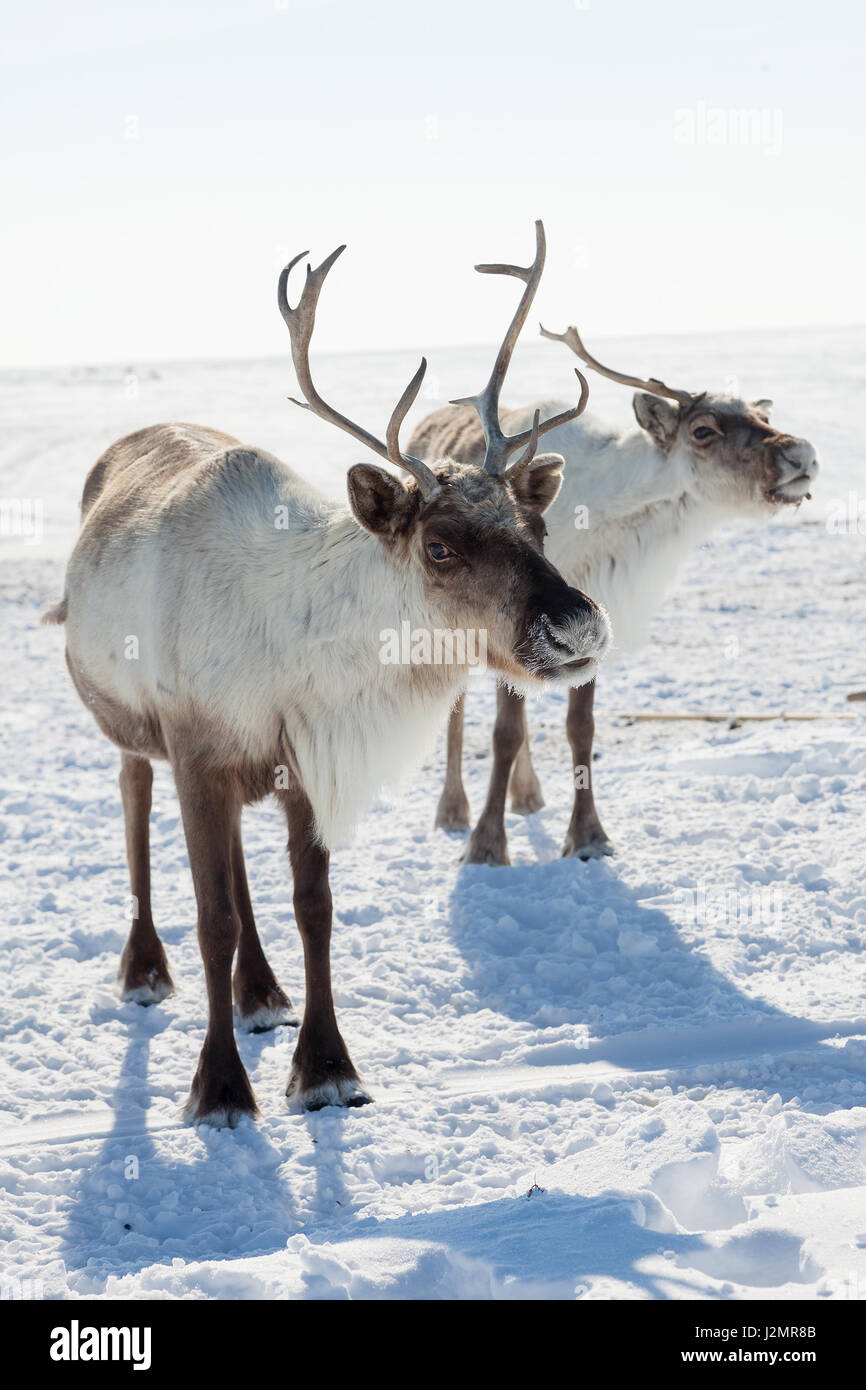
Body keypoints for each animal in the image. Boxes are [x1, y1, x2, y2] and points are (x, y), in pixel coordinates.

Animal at [44, 224, 611, 1125]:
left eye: (538, 523)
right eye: (439, 545)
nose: (577, 624)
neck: (294, 647)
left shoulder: (302, 756)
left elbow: (314, 907)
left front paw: (325, 1068)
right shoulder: (197, 751)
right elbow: (211, 917)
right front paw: (220, 1086)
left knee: (238, 864)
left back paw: (261, 993)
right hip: (129, 725)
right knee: (135, 802)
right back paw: (144, 969)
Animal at [409, 321, 819, 866]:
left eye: (764, 416)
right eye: (702, 430)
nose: (802, 455)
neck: (618, 521)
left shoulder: (587, 628)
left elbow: (580, 729)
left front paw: (588, 836)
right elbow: (504, 733)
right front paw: (486, 845)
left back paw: (528, 795)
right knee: (457, 712)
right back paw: (452, 810)